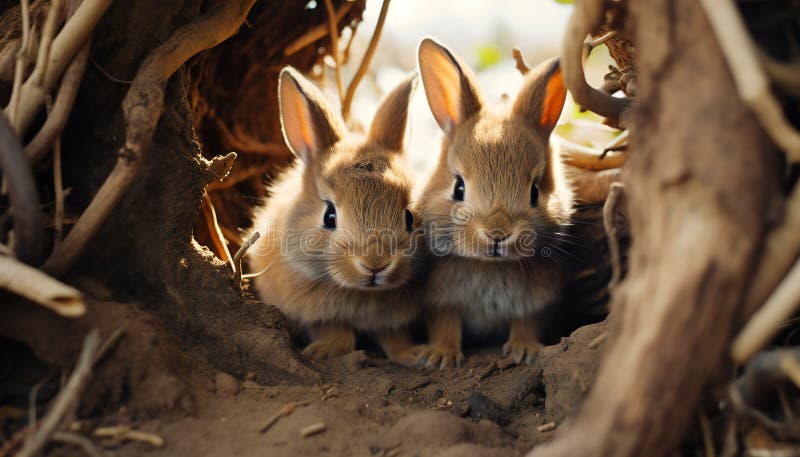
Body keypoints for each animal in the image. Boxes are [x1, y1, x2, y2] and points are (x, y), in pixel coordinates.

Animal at [247, 67, 422, 365]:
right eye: (329, 216)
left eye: (409, 216)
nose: (375, 264)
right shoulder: (316, 314)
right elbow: (335, 330)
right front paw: (324, 350)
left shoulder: (393, 321)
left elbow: (394, 337)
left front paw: (411, 355)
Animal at [415, 37, 574, 369]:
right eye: (458, 187)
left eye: (535, 191)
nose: (497, 234)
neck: (491, 266)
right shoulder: (441, 302)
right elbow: (446, 325)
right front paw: (440, 356)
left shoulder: (534, 303)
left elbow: (525, 324)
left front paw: (525, 349)